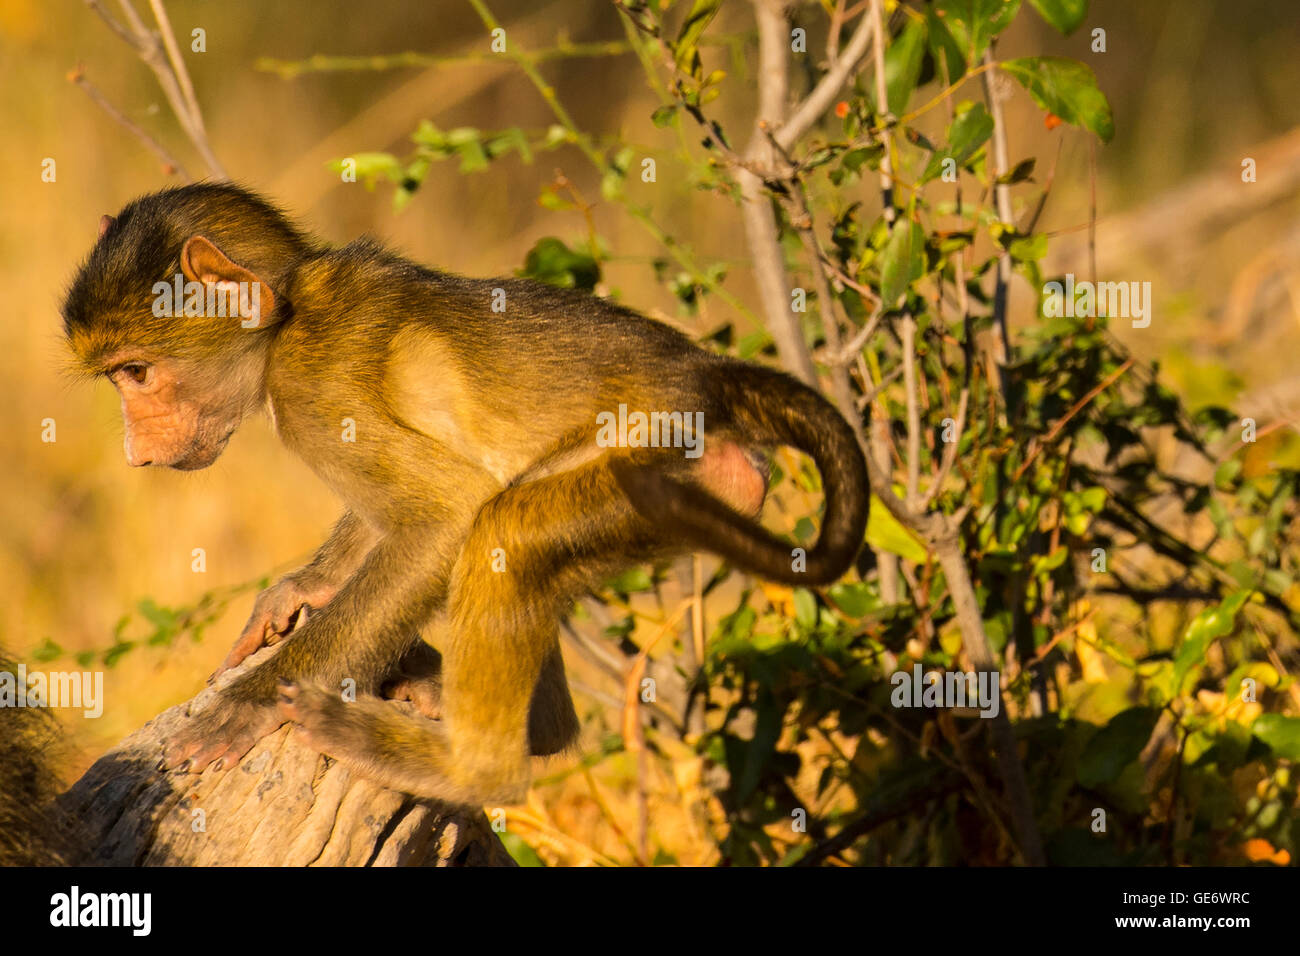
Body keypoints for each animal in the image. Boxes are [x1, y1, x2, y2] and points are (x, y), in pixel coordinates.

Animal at [61, 182, 868, 807]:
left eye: (136, 372)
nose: (137, 453)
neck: (287, 315)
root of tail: (706, 377)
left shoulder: (308, 389)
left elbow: (445, 513)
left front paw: (249, 705)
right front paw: (299, 592)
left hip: (654, 463)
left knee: (504, 525)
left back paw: (470, 770)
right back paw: (518, 721)